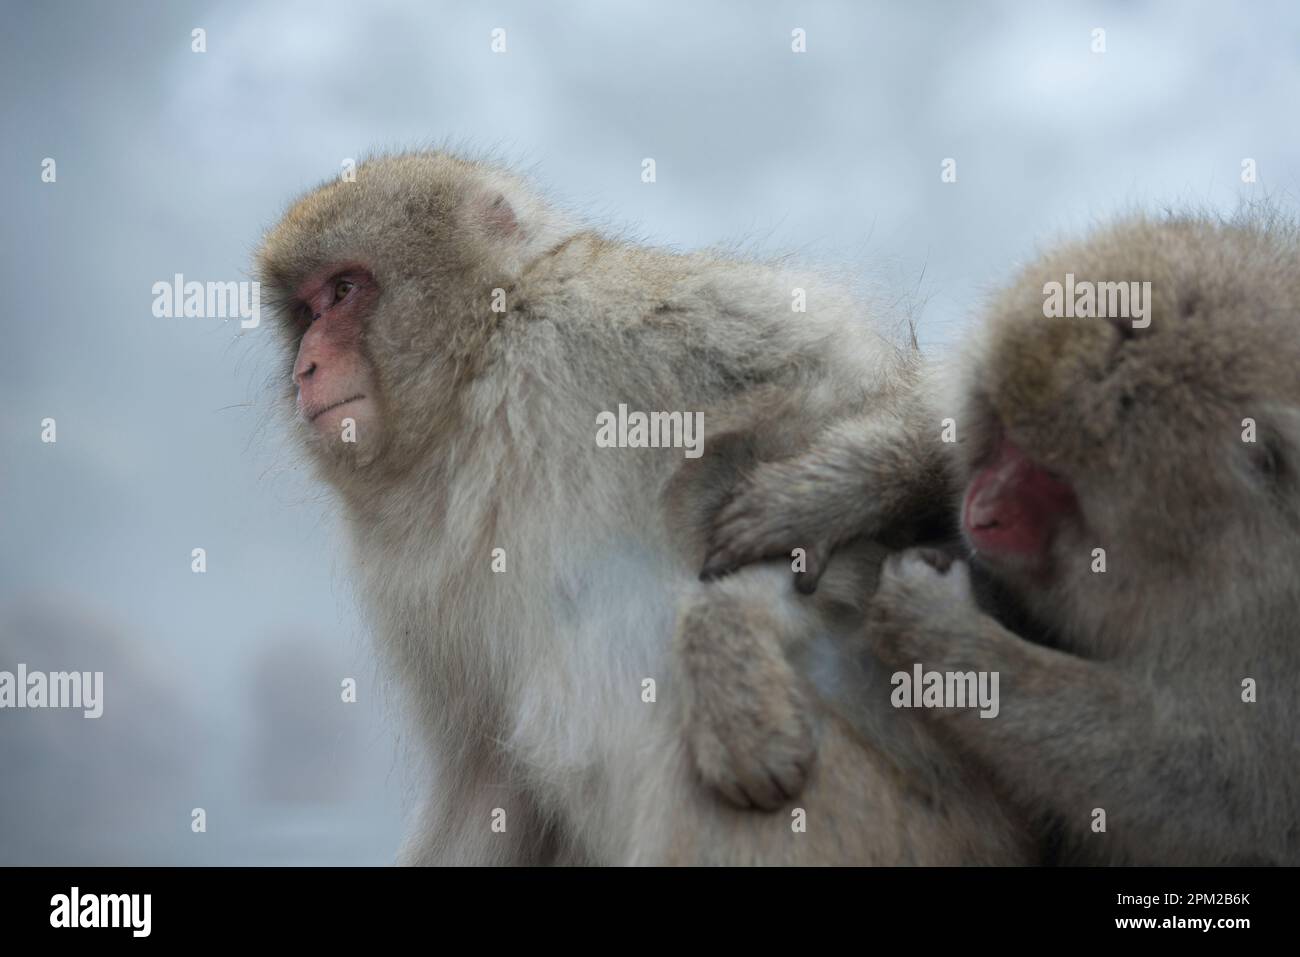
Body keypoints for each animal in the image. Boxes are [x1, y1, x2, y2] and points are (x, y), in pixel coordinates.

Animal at [255, 150, 1034, 865]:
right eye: (305, 312)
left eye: (344, 290)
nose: (305, 369)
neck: (476, 391)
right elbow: (489, 780)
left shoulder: (609, 318)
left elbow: (898, 404)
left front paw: (748, 595)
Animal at [695, 211, 1300, 865]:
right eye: (1007, 435)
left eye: (1055, 477)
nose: (982, 511)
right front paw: (827, 496)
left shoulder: (1265, 632)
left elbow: (1221, 793)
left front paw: (944, 633)